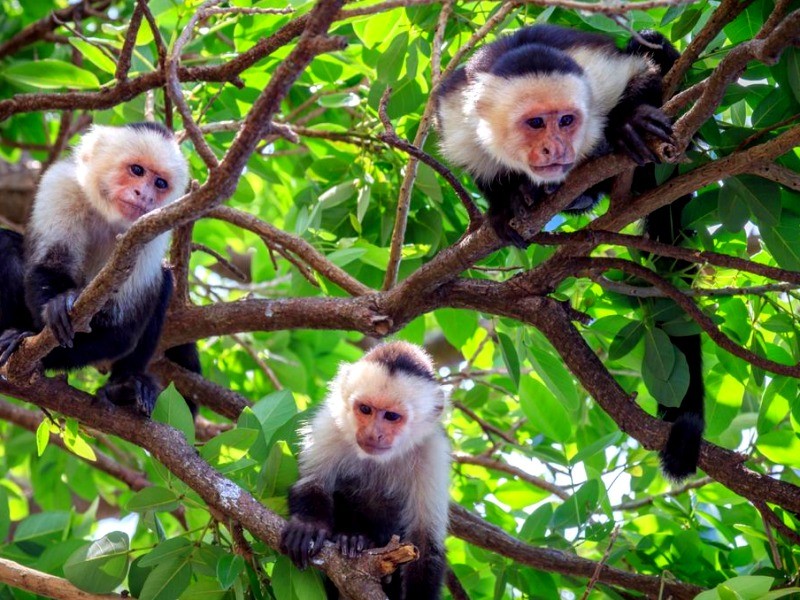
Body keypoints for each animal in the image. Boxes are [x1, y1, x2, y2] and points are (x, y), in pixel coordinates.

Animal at [0, 122, 200, 417]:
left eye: (160, 183)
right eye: (137, 170)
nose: (145, 195)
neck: (109, 215)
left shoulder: (153, 230)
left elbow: (121, 330)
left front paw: (40, 353)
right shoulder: (61, 185)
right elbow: (49, 264)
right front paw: (56, 305)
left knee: (162, 283)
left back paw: (127, 388)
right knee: (7, 245)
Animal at [281, 341, 450, 600]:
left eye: (391, 416)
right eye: (365, 409)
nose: (373, 434)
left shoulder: (433, 453)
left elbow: (424, 540)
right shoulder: (330, 425)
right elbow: (313, 482)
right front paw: (309, 526)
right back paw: (351, 538)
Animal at [436, 26, 703, 480]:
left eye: (566, 121)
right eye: (535, 123)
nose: (556, 148)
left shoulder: (596, 78)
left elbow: (642, 74)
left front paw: (629, 119)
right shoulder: (456, 114)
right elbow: (478, 164)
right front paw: (506, 203)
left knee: (649, 43)